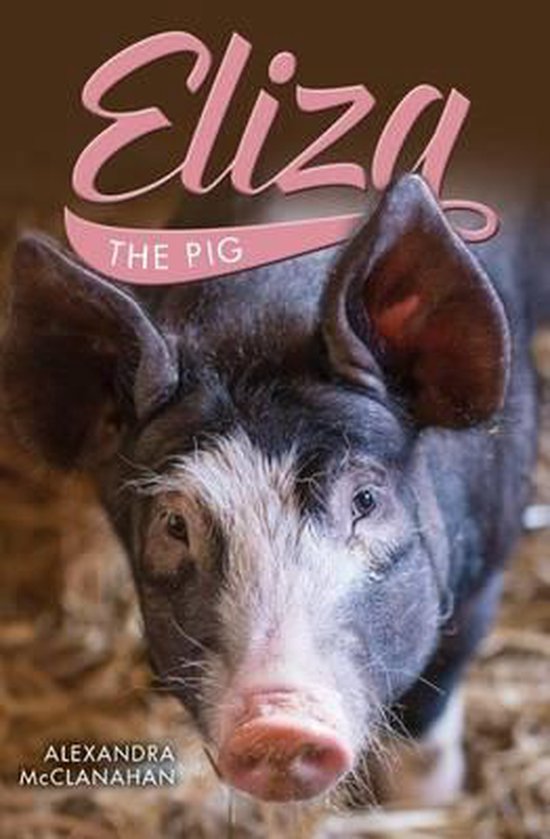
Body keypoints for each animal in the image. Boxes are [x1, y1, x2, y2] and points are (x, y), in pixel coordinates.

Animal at [0, 175, 541, 806]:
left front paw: (423, 805)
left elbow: (430, 710)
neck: (255, 326)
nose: (278, 725)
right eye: (174, 525)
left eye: (365, 501)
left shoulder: (486, 571)